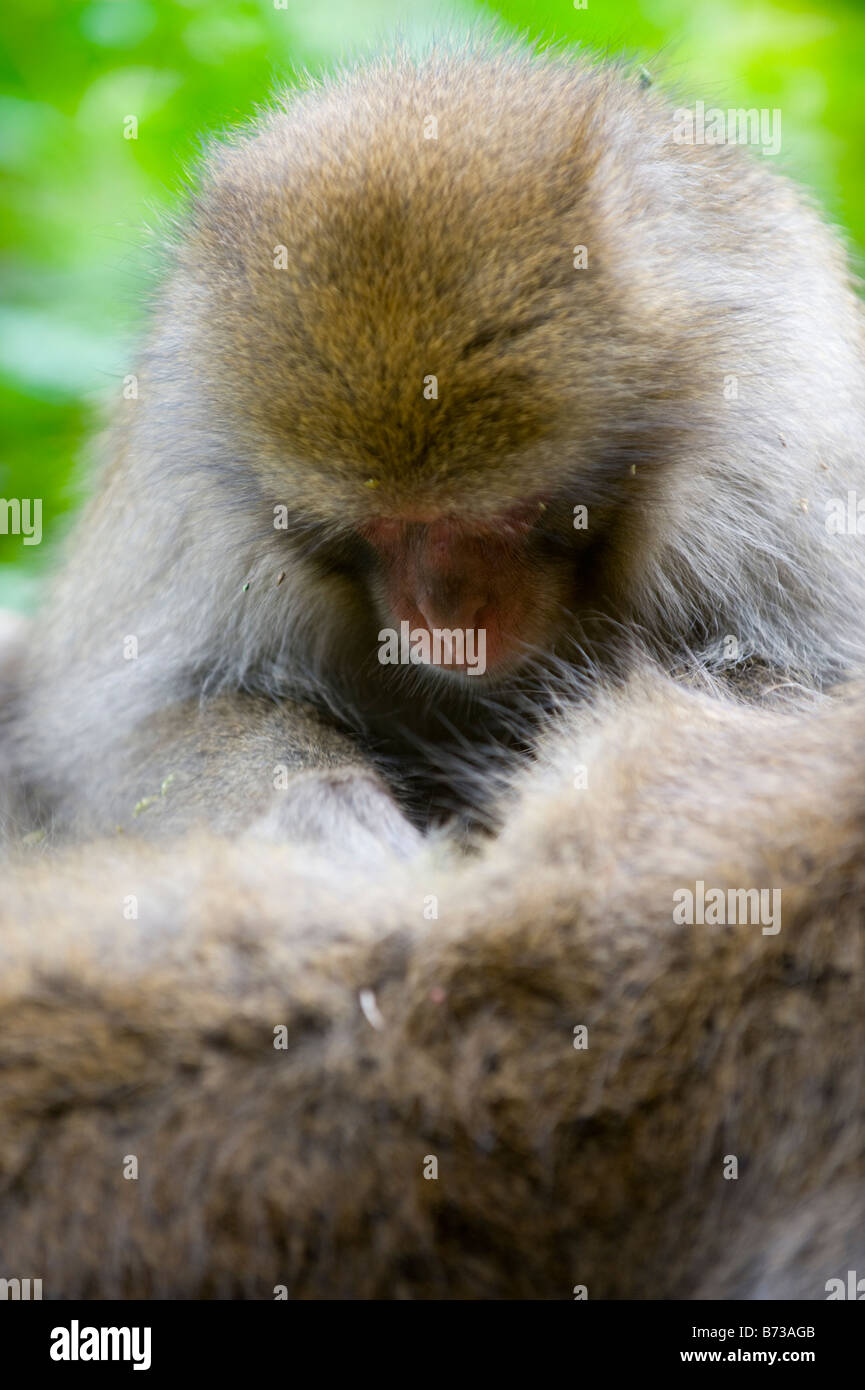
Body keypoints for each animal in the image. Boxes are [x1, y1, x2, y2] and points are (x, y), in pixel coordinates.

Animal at [4, 37, 865, 849]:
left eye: (513, 514)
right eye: (377, 528)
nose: (443, 615)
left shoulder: (759, 469)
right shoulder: (198, 507)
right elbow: (139, 729)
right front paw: (326, 816)